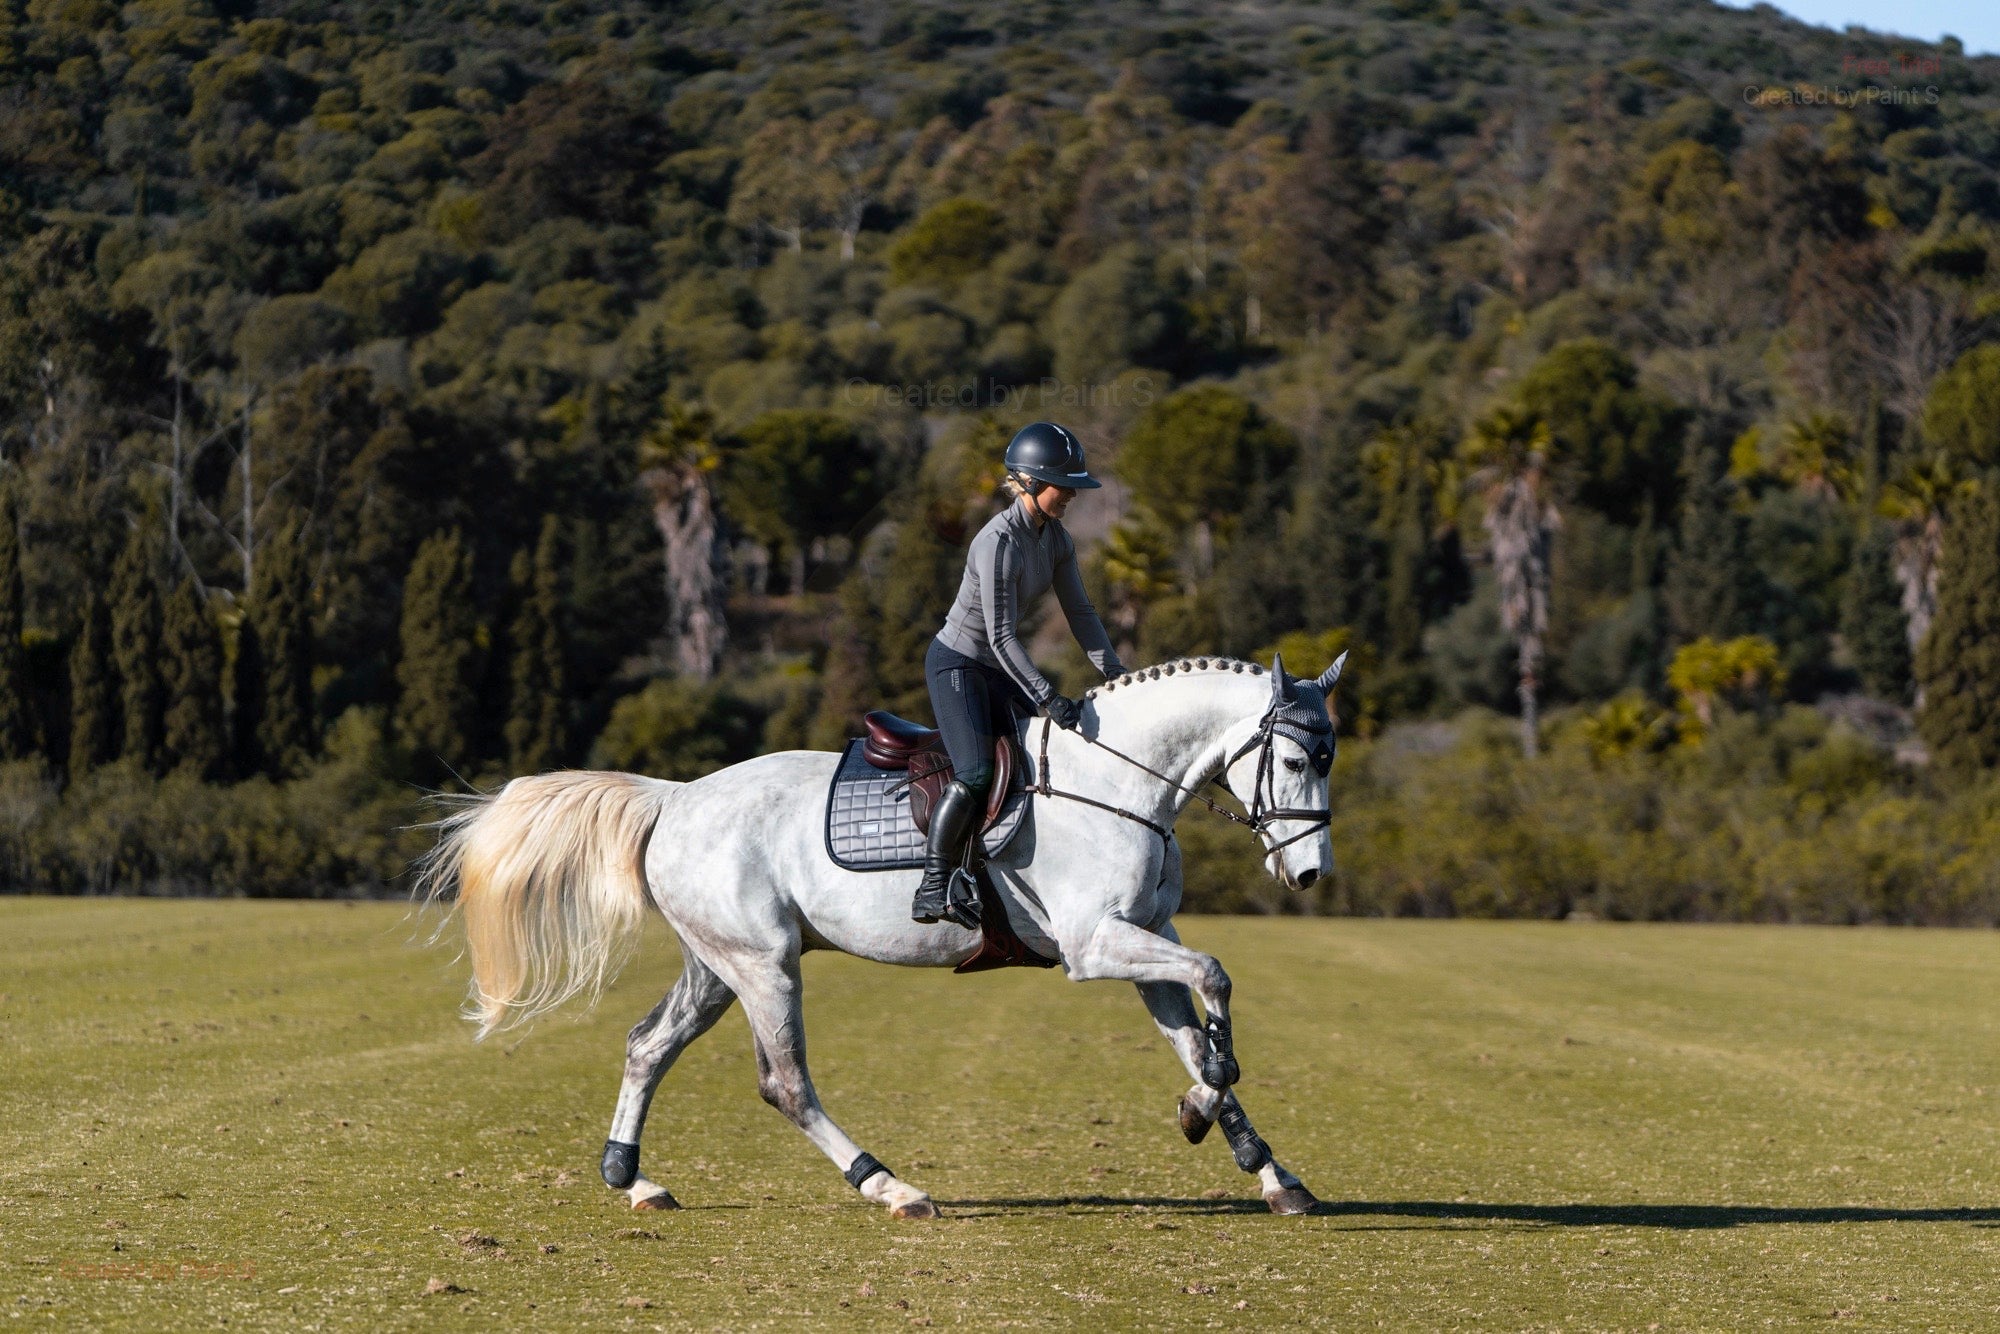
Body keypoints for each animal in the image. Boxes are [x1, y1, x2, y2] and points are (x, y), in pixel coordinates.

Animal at [415, 650, 1346, 1219]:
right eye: (1297, 761)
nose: (1310, 875)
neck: (1113, 783)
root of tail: (675, 797)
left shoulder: (1146, 937)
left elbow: (1195, 1029)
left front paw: (1260, 1161)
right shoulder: (1096, 947)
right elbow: (1216, 976)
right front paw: (1209, 1105)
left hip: (716, 966)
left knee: (648, 1046)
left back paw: (633, 1178)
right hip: (765, 966)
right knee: (785, 1084)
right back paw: (890, 1187)